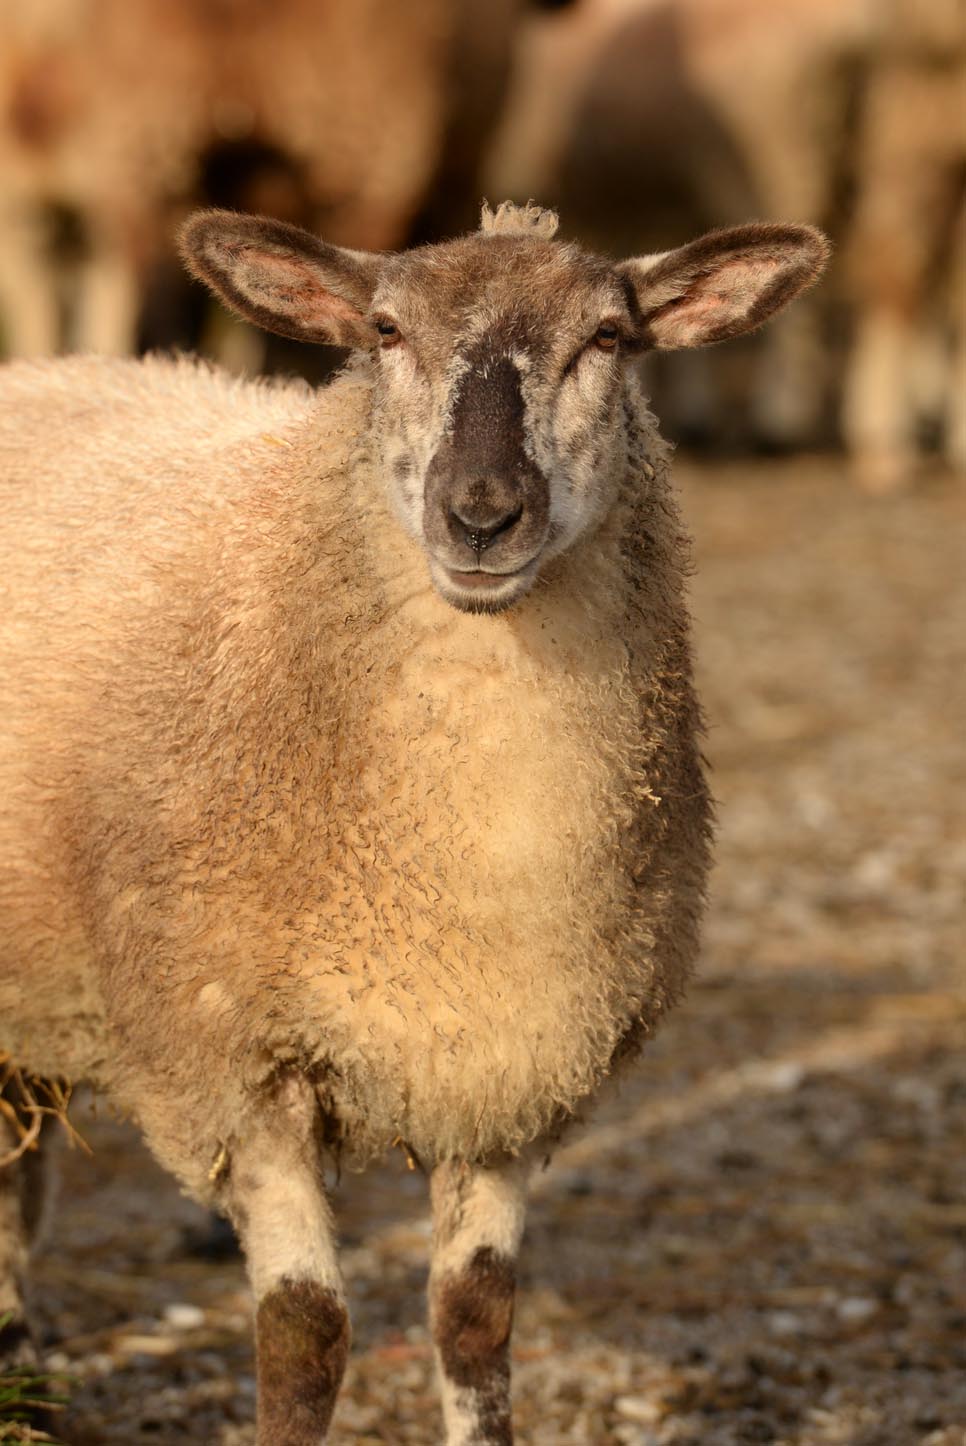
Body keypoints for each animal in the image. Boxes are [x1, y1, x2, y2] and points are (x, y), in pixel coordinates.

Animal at [0, 199, 827, 1444]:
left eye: (609, 339)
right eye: (385, 331)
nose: (481, 514)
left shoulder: (512, 1067)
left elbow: (476, 1321)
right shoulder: (236, 1066)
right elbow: (305, 1338)